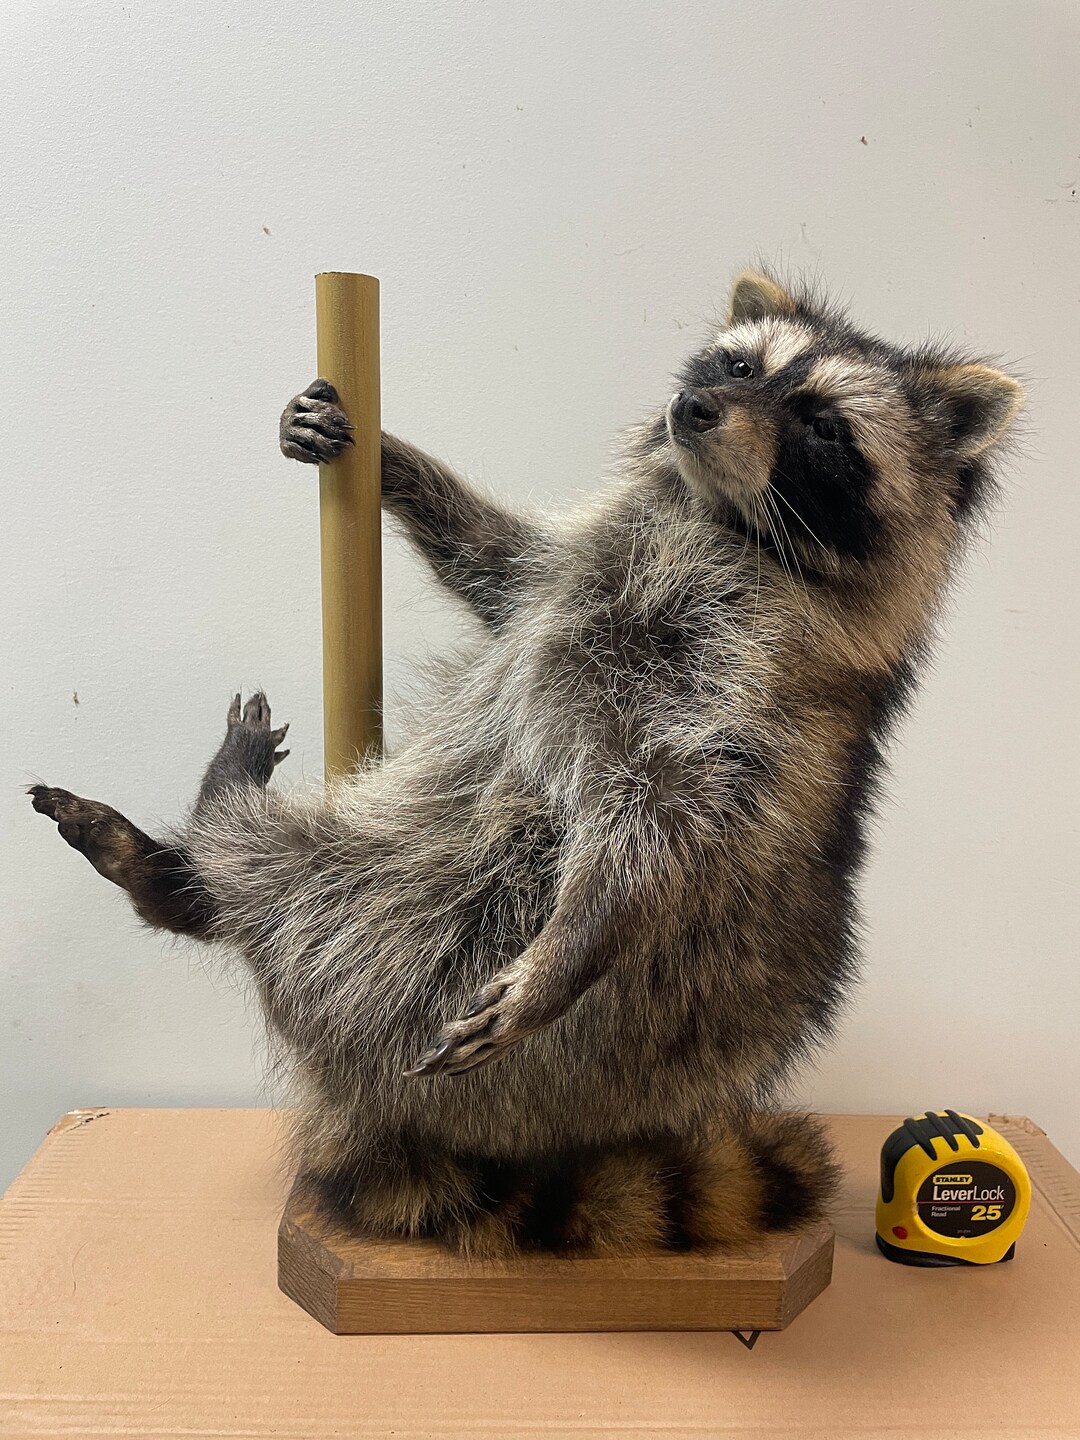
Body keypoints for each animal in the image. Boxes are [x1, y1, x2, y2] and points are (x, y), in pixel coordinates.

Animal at [31, 272, 1022, 1257]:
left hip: (452, 969)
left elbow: (660, 818)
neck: (716, 518)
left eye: (821, 426)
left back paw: (204, 844)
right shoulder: (573, 567)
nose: (696, 407)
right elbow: (491, 557)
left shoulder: (746, 687)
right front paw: (391, 461)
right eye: (741, 366)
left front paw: (570, 949)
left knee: (296, 877)